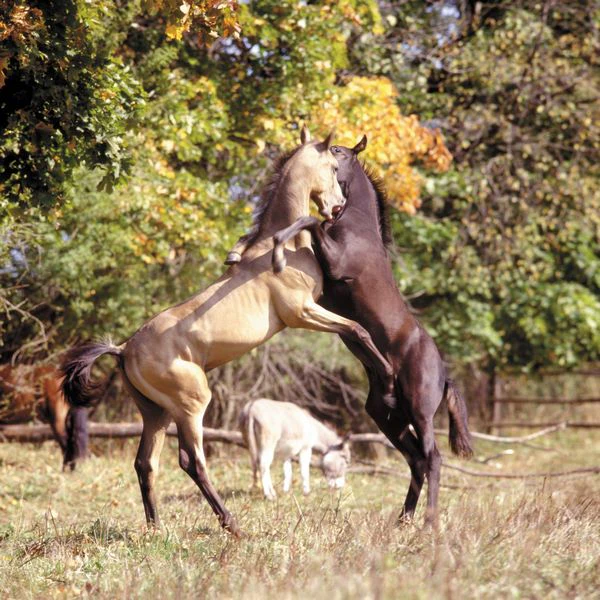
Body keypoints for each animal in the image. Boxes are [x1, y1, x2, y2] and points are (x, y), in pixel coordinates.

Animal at [63, 129, 396, 536]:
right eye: (333, 167)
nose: (336, 208)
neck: (277, 249)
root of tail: (124, 349)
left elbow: (354, 331)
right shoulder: (302, 313)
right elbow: (359, 329)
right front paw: (388, 376)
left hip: (156, 414)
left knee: (146, 463)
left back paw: (157, 528)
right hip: (192, 405)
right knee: (191, 460)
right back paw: (232, 524)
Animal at [230, 137, 474, 524]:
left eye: (338, 153)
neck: (357, 228)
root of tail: (444, 374)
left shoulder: (334, 265)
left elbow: (308, 221)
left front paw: (278, 247)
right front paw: (237, 252)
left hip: (420, 411)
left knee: (433, 457)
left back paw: (429, 523)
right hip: (387, 416)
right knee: (416, 460)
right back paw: (403, 520)